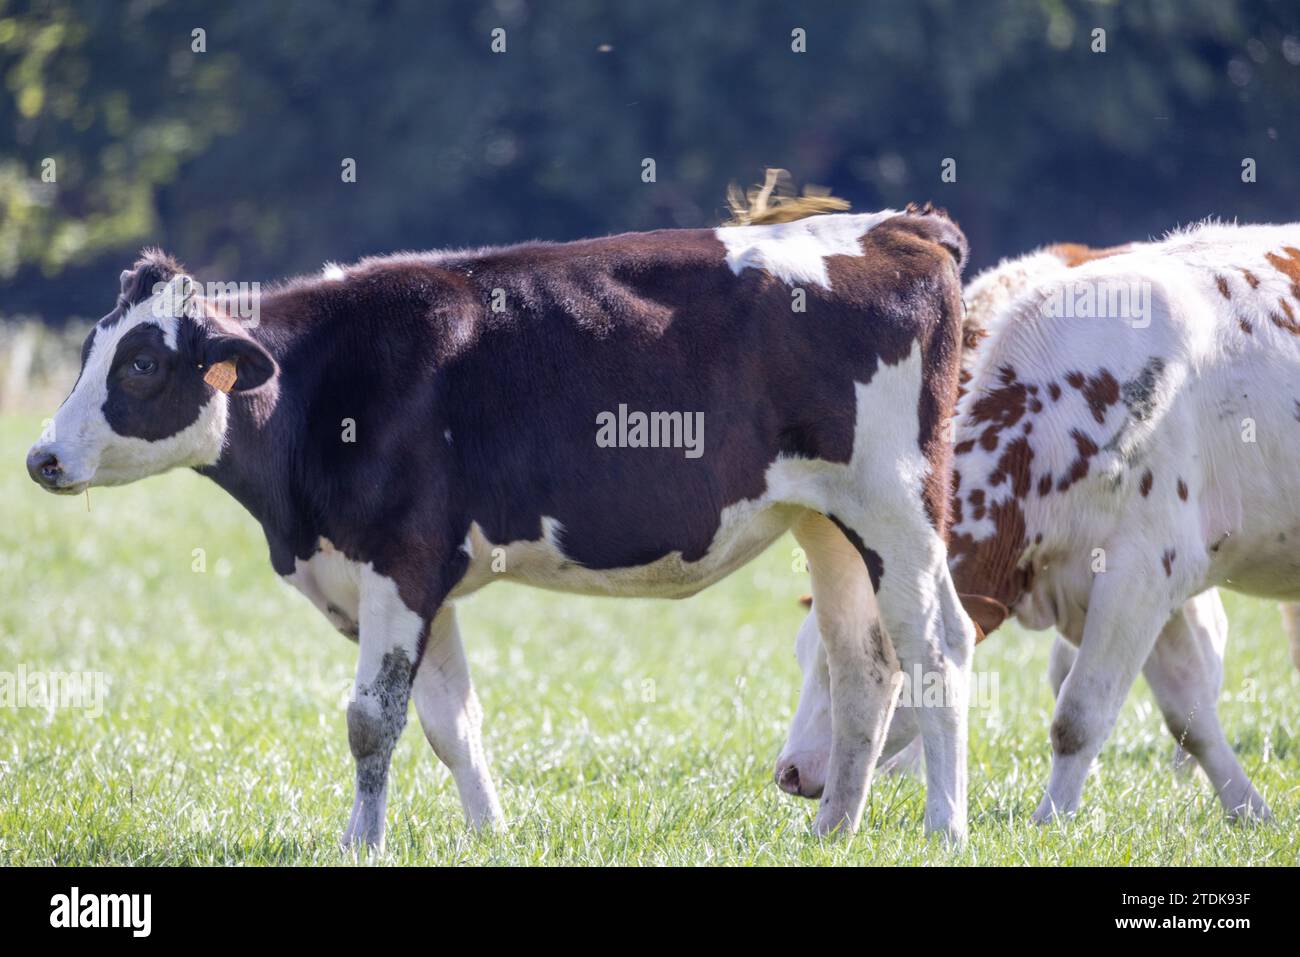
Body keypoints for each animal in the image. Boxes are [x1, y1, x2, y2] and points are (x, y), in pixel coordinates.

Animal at [26, 203, 977, 848]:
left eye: (142, 365)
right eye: (89, 352)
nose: (41, 457)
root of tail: (903, 226)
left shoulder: (401, 563)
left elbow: (370, 719)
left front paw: (362, 843)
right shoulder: (420, 578)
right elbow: (451, 722)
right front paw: (491, 834)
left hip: (898, 503)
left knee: (938, 647)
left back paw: (944, 827)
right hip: (829, 520)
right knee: (866, 662)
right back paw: (833, 829)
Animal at [779, 222, 1300, 823]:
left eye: (841, 672)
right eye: (804, 657)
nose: (788, 772)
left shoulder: (1142, 575)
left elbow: (1079, 716)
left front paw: (1051, 820)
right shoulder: (1152, 595)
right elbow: (1190, 718)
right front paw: (1249, 809)